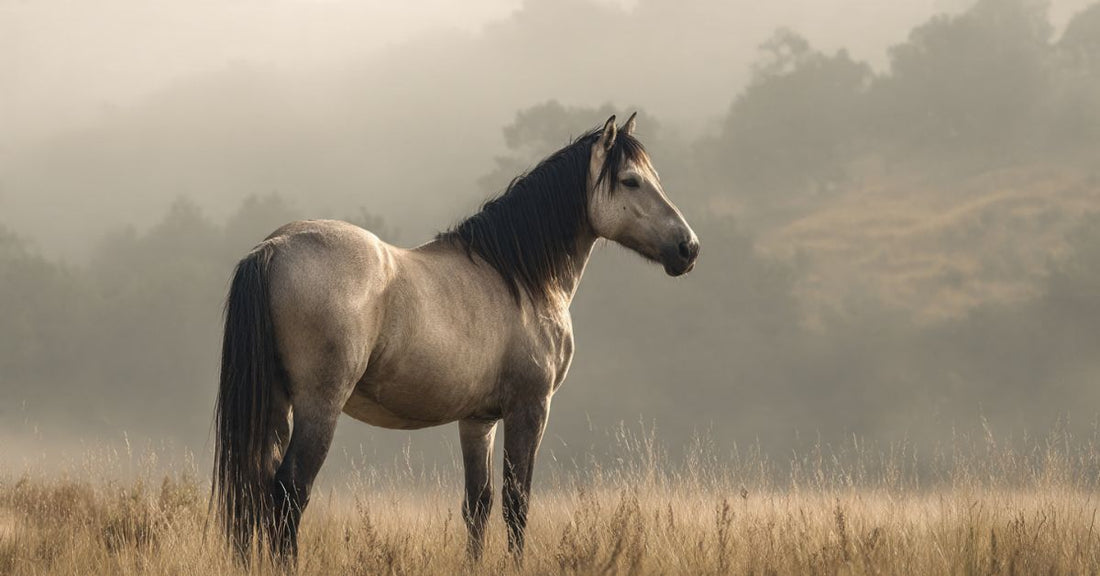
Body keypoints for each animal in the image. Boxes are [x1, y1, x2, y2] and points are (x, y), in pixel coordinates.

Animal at [212, 113, 700, 562]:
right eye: (631, 181)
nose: (688, 248)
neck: (517, 277)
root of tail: (273, 249)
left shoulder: (478, 420)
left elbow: (477, 505)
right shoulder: (530, 409)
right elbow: (517, 504)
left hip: (276, 405)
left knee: (255, 490)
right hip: (319, 406)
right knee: (288, 493)